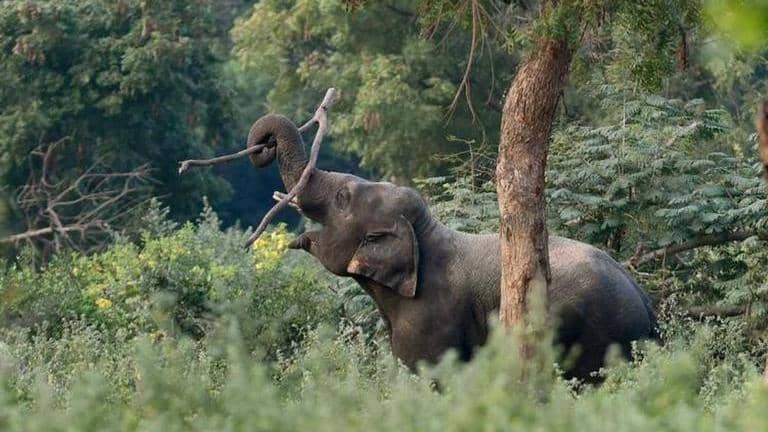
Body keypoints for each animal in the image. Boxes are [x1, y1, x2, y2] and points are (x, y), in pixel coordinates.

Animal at [247, 113, 659, 380]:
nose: (265, 144)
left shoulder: (433, 316)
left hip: (596, 336)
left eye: (343, 197)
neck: (425, 235)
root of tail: (647, 307)